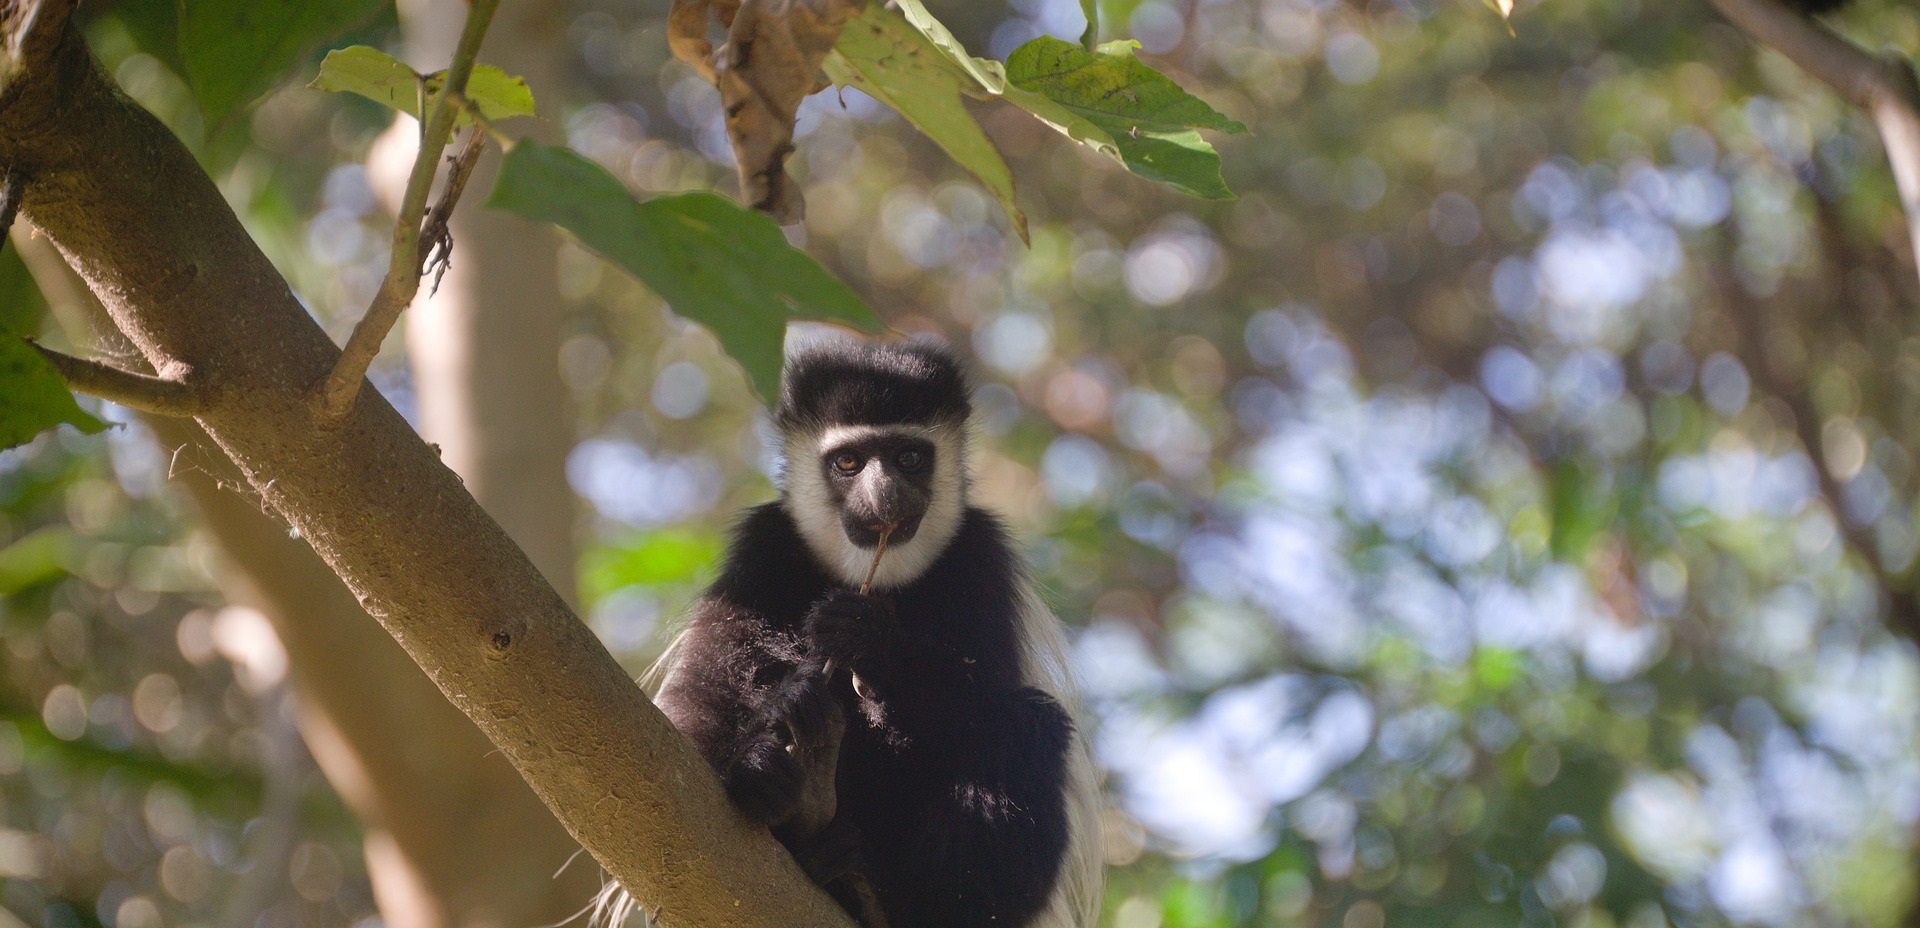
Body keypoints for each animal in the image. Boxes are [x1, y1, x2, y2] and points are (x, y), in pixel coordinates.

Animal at [646, 340, 1102, 928]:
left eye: (909, 457)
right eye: (849, 462)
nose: (885, 496)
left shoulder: (981, 563)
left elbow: (981, 697)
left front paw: (867, 637)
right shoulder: (761, 551)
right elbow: (699, 710)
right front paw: (758, 759)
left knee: (1027, 724)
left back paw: (879, 889)